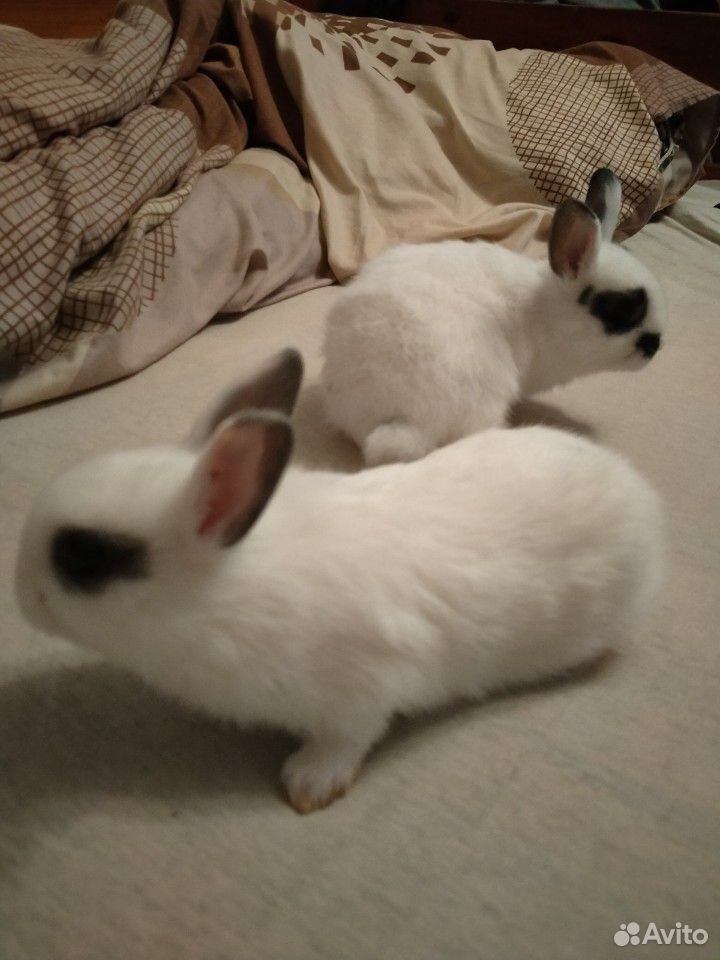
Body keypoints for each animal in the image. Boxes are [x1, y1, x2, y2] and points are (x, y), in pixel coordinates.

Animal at [15, 349, 662, 814]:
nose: (19, 594)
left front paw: (308, 785)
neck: (223, 592)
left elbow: (349, 737)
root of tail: (640, 495)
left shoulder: (364, 688)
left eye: (84, 556)